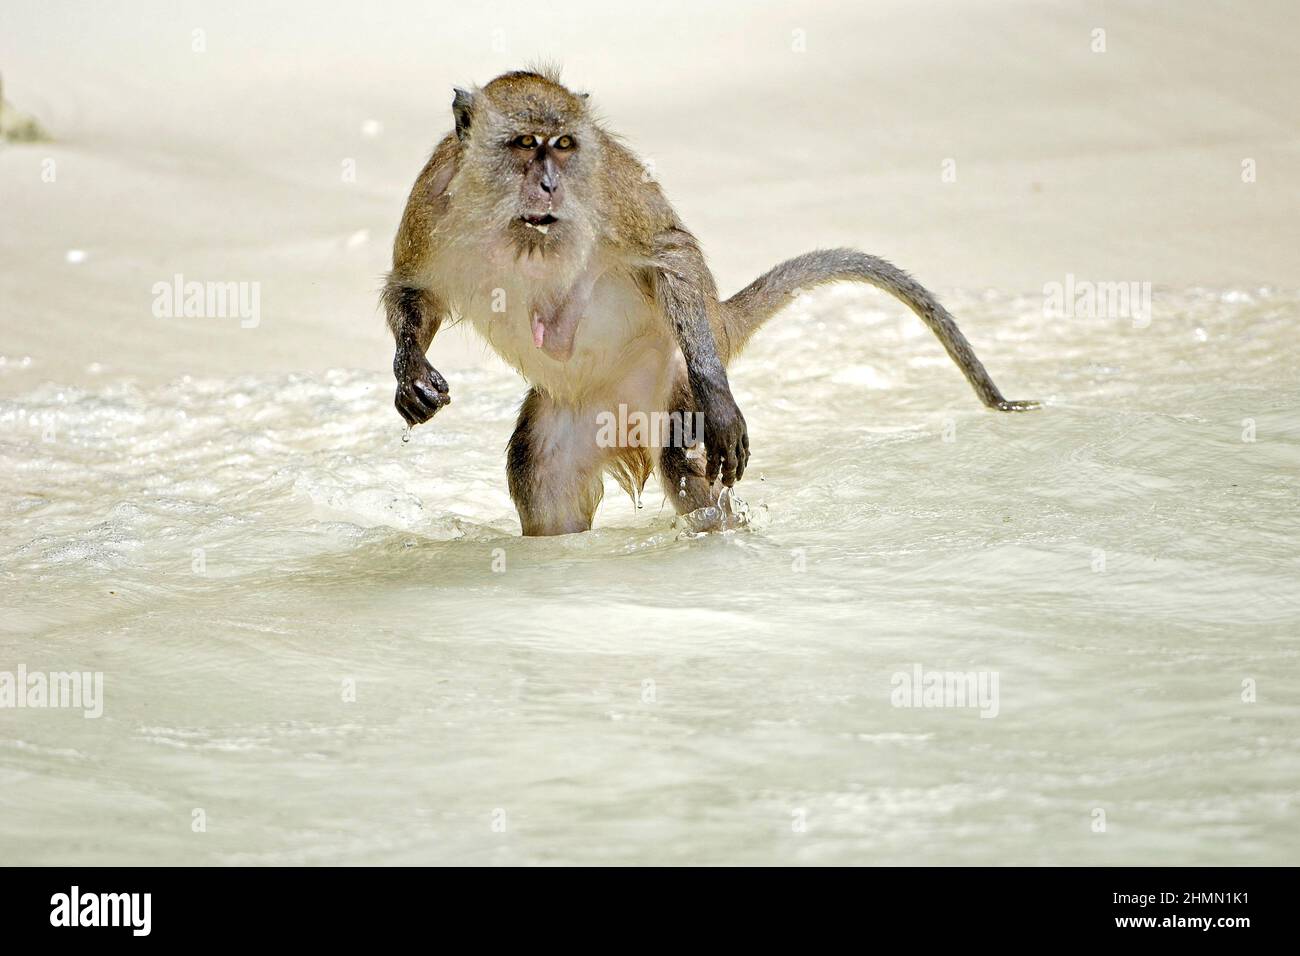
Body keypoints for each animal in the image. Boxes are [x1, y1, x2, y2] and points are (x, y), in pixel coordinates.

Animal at [383, 69, 1037, 536]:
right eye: (524, 144)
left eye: (563, 145)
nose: (549, 185)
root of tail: (719, 319)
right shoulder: (430, 198)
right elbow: (413, 290)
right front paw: (412, 372)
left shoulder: (604, 186)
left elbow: (671, 255)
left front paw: (721, 407)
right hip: (579, 413)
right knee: (539, 479)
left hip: (672, 376)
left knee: (681, 459)